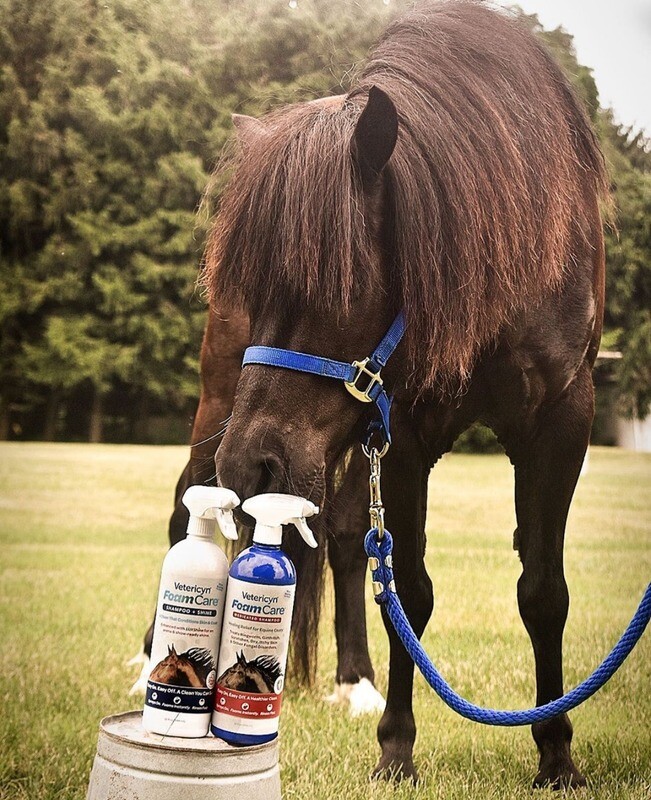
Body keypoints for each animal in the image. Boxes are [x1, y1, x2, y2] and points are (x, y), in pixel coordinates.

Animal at [201, 0, 608, 788]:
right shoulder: (406, 433)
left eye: (338, 283)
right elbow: (409, 593)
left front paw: (555, 754)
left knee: (340, 537)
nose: (247, 467)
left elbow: (542, 590)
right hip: (223, 405)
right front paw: (396, 751)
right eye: (250, 281)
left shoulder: (560, 421)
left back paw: (352, 682)